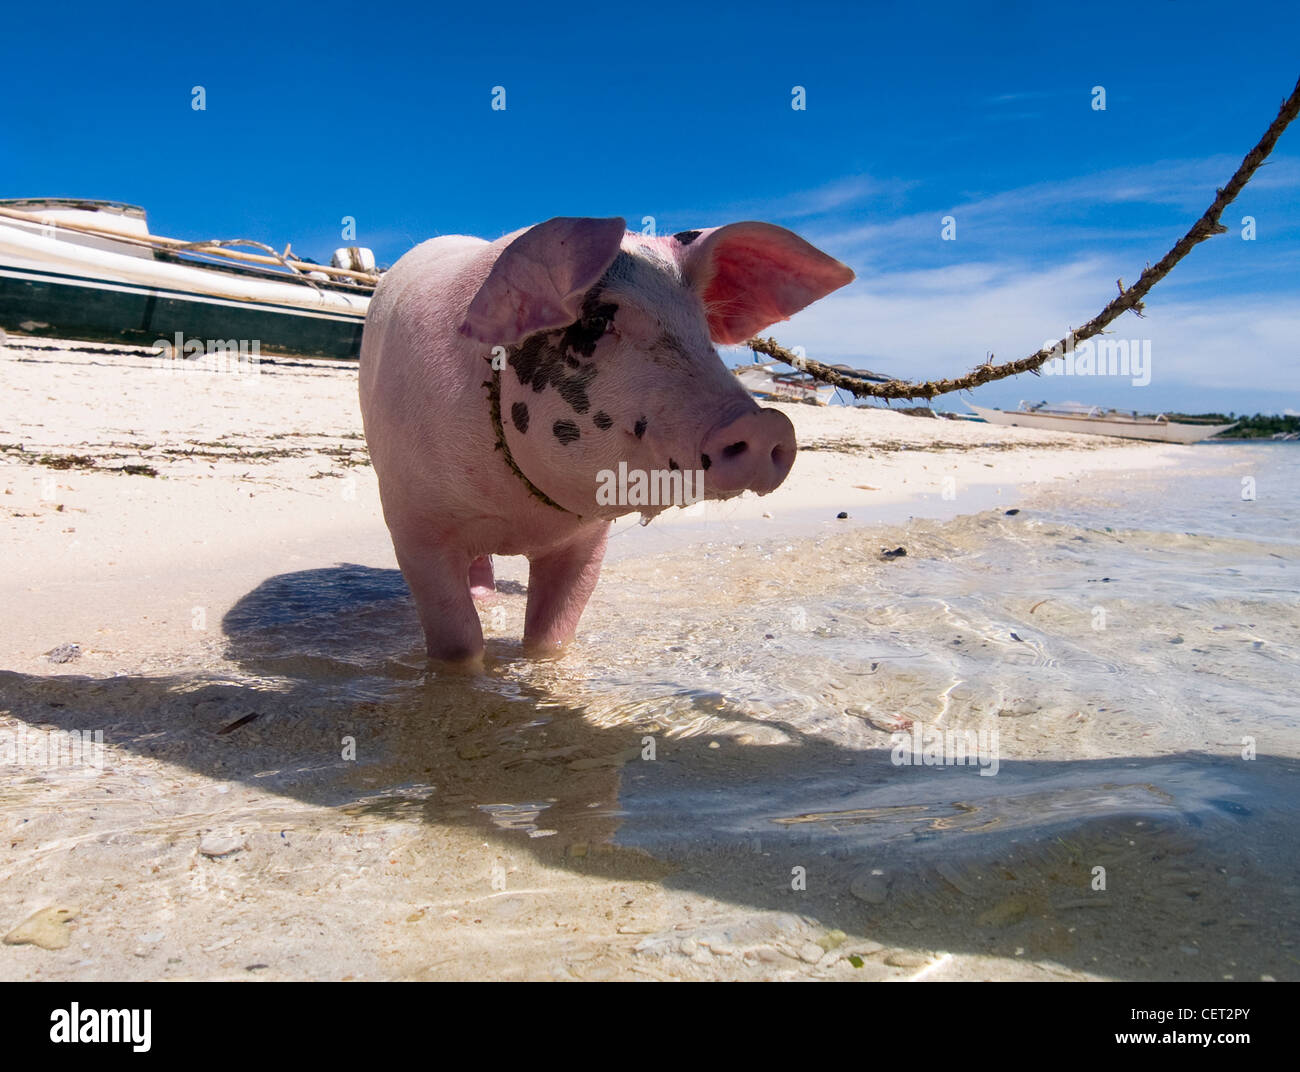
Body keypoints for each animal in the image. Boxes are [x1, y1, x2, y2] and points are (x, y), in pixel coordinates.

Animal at [358, 217, 853, 663]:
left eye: (703, 329)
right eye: (595, 322)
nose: (765, 422)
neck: (520, 520)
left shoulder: (588, 538)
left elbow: (553, 635)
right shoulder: (414, 524)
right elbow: (457, 643)